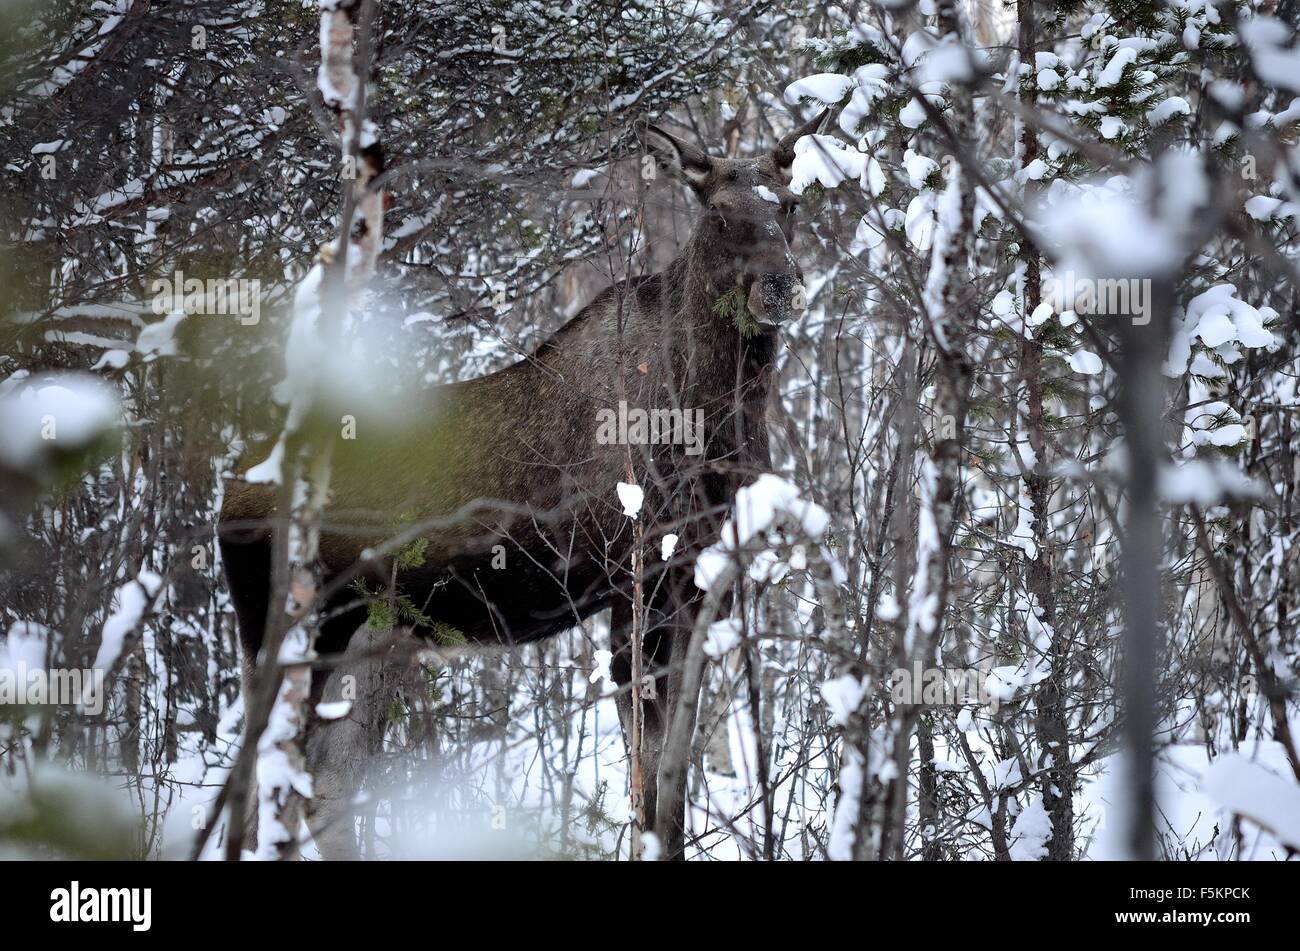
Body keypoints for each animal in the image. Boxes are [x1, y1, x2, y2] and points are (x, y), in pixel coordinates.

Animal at [217, 111, 827, 860]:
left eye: (790, 204)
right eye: (716, 211)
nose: (779, 285)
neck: (715, 420)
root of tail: (226, 492)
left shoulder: (700, 582)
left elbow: (675, 780)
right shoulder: (635, 584)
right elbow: (647, 781)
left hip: (371, 638)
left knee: (326, 789)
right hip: (290, 630)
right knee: (260, 794)